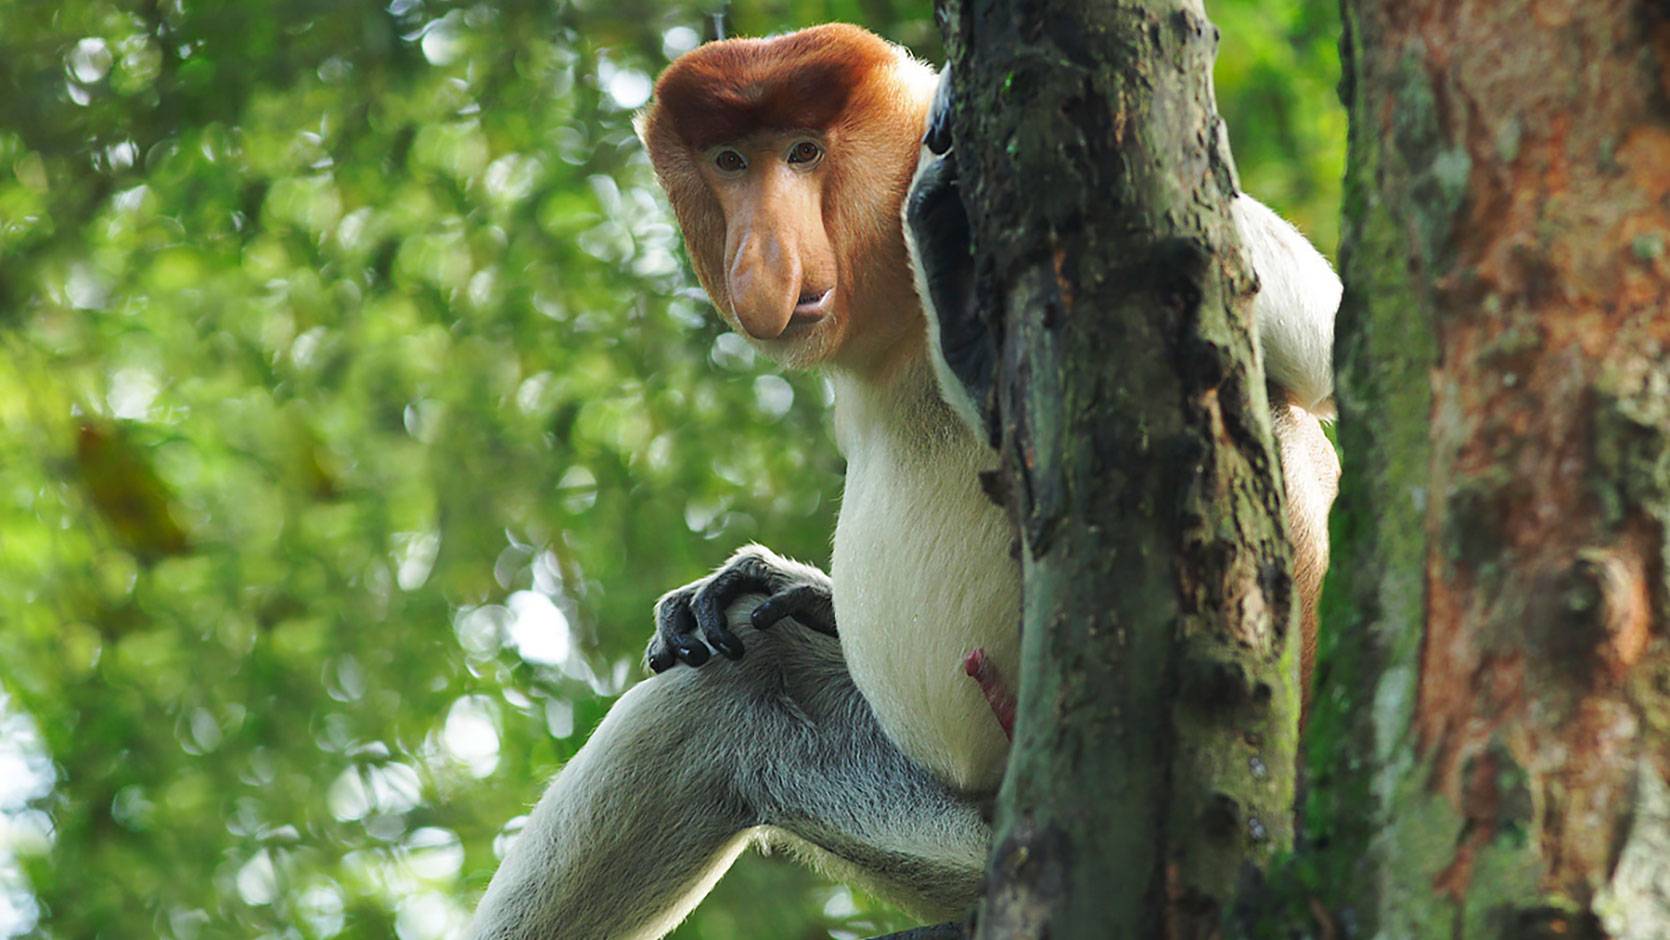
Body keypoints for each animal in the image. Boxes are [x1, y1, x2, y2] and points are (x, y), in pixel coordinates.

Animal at [467, 23, 1340, 939]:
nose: (761, 261)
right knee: (722, 692)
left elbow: (1321, 345)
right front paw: (771, 582)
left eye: (805, 152)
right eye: (730, 161)